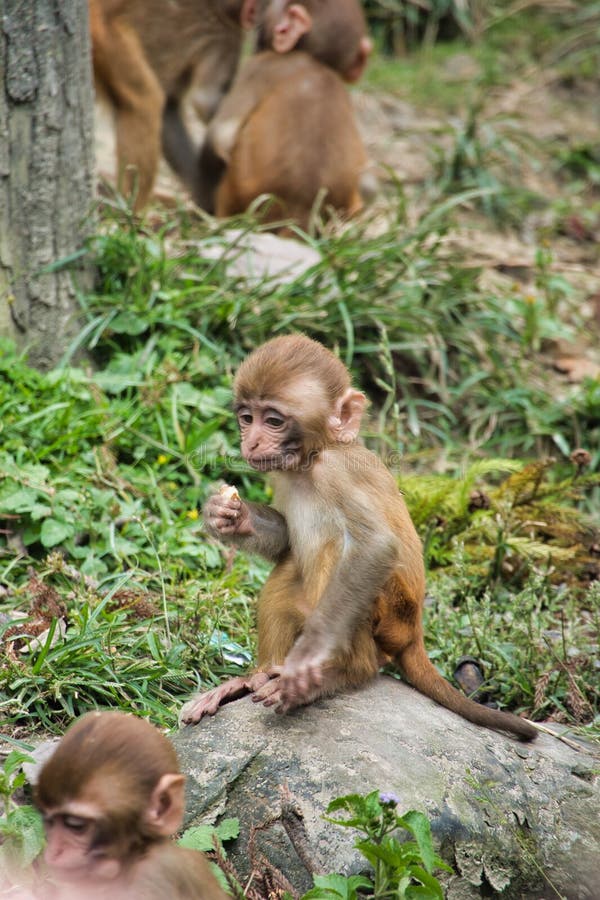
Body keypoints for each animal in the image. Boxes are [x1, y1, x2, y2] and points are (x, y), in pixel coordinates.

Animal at [180, 336, 537, 742]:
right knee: (290, 568)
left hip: (392, 619)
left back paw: (344, 671)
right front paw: (226, 516)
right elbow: (286, 539)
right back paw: (252, 678)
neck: (314, 459)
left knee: (343, 555)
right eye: (246, 417)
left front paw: (309, 659)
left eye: (273, 420)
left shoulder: (339, 473)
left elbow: (375, 547)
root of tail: (415, 633)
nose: (251, 442)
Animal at [197, 0, 372, 229]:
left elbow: (222, 134)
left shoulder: (259, 67)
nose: (251, 10)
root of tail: (301, 211)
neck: (313, 60)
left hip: (243, 194)